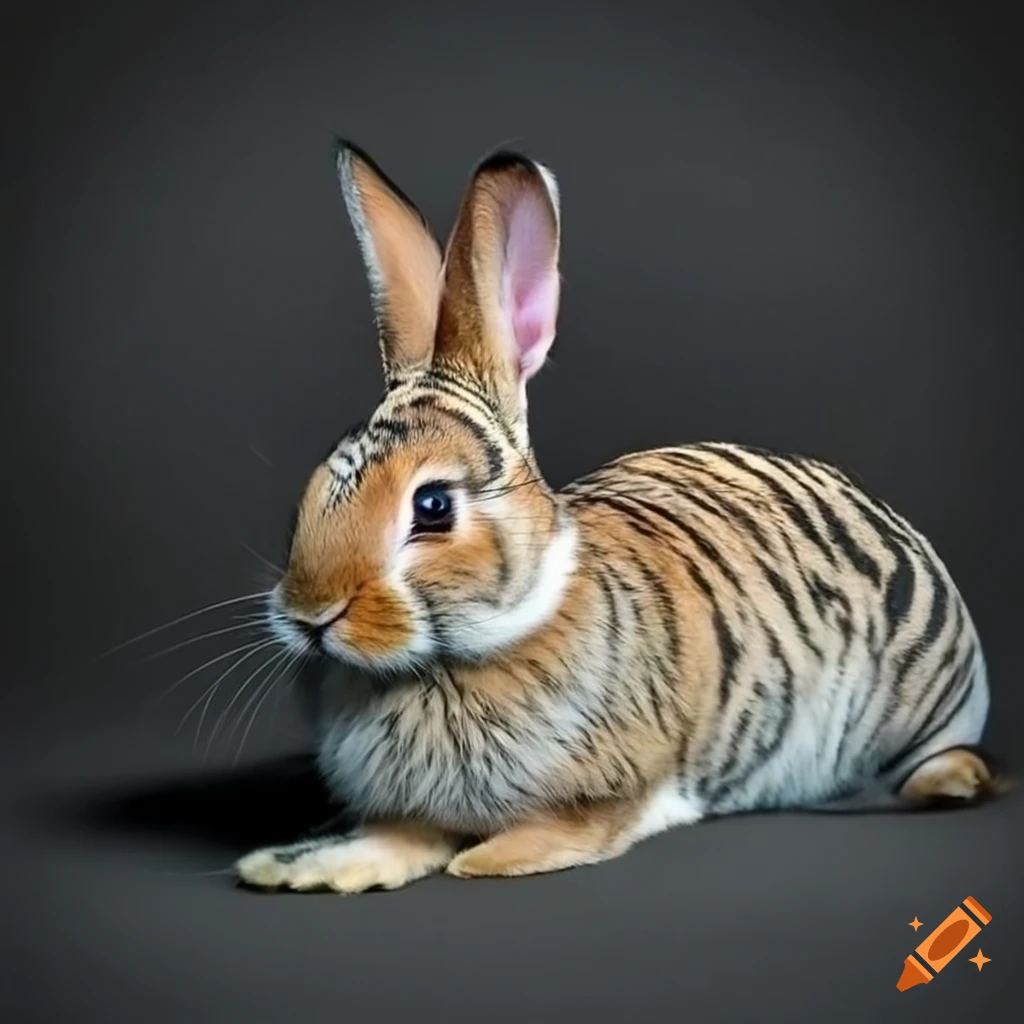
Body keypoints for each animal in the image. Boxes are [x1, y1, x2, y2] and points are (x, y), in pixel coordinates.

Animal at [235, 140, 1000, 894]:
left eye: (432, 507)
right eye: (313, 487)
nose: (310, 614)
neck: (457, 654)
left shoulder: (623, 784)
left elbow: (575, 825)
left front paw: (489, 859)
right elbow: (396, 838)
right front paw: (297, 867)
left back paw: (952, 783)